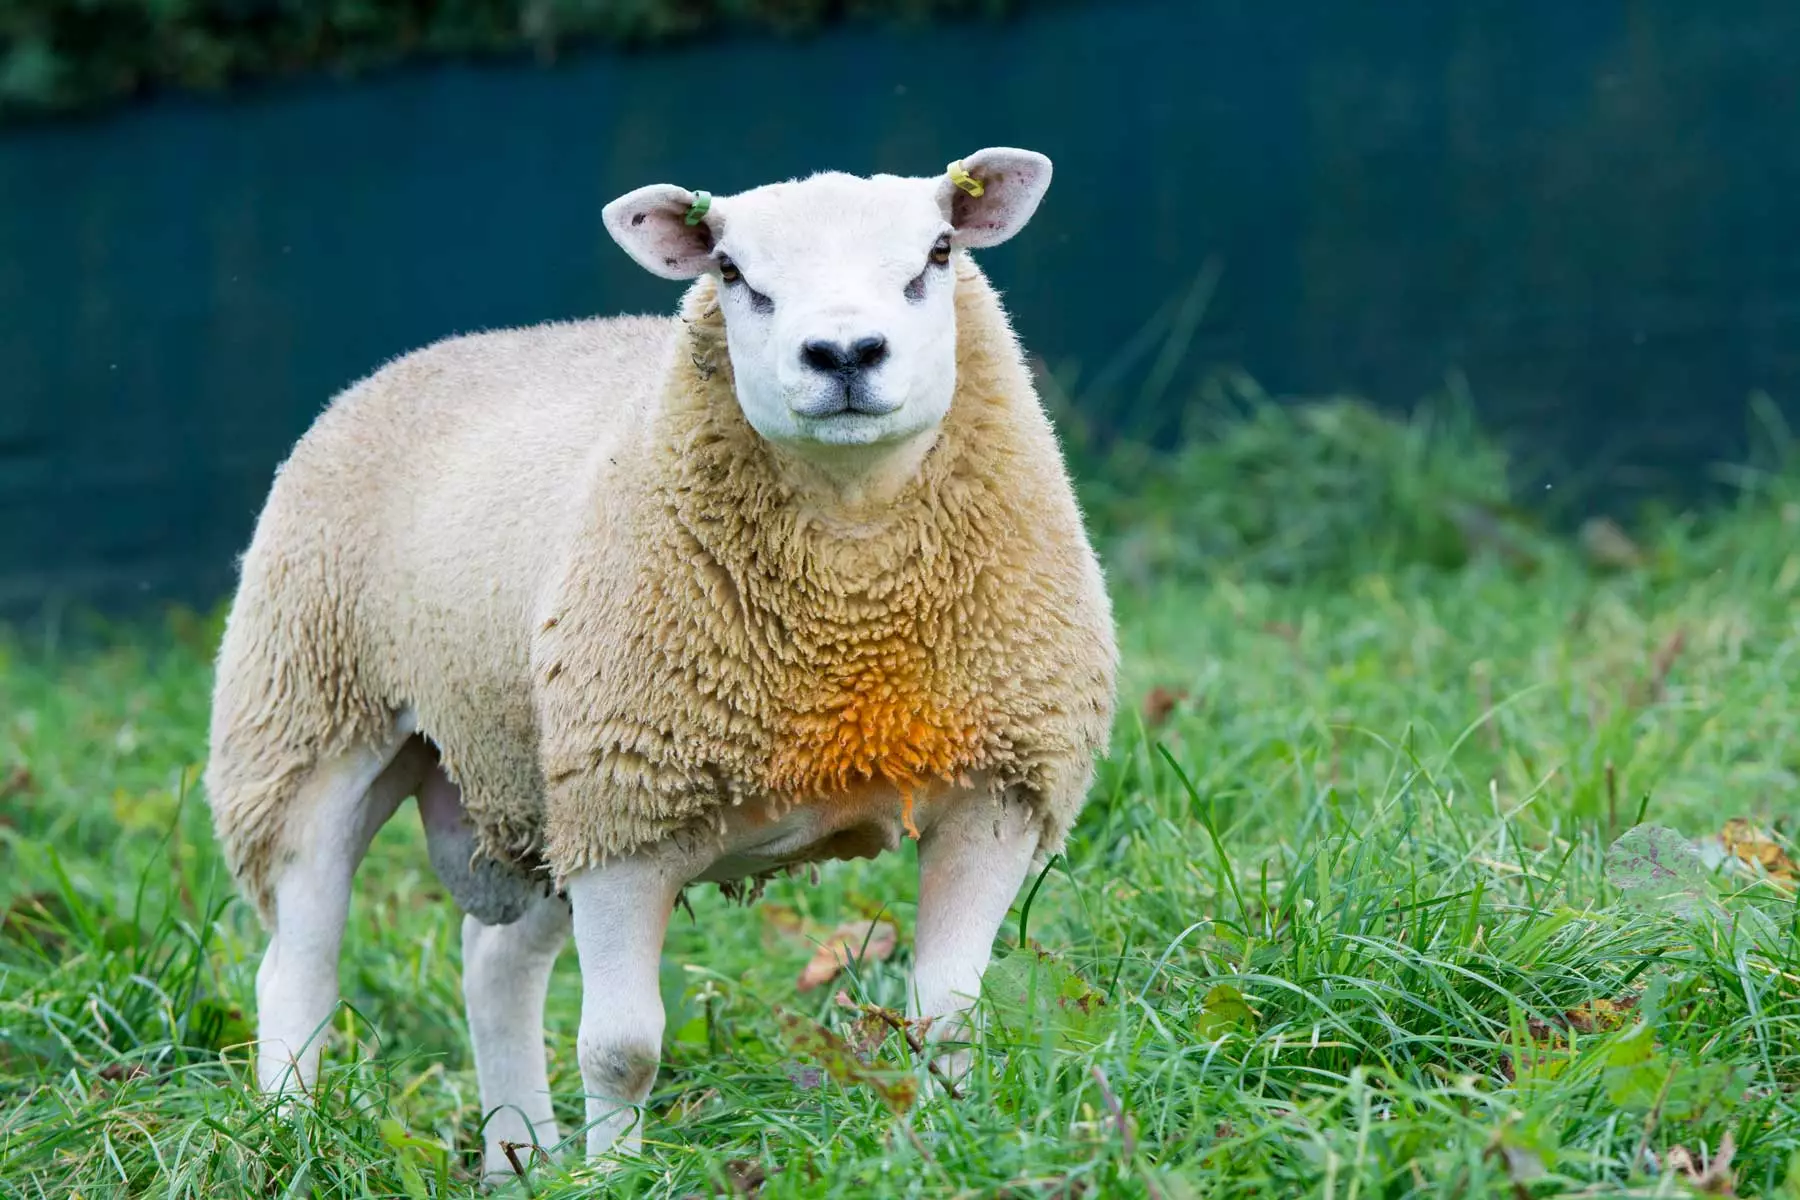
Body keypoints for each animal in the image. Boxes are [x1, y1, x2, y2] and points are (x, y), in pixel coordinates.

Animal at [204, 145, 1116, 1180]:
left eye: (937, 252)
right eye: (731, 271)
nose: (844, 355)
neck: (851, 605)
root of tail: (414, 361)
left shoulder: (997, 788)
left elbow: (949, 1014)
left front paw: (948, 1146)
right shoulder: (627, 813)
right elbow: (621, 1048)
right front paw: (615, 1178)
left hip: (536, 779)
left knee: (493, 961)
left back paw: (519, 1159)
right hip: (309, 723)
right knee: (298, 967)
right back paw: (288, 1136)